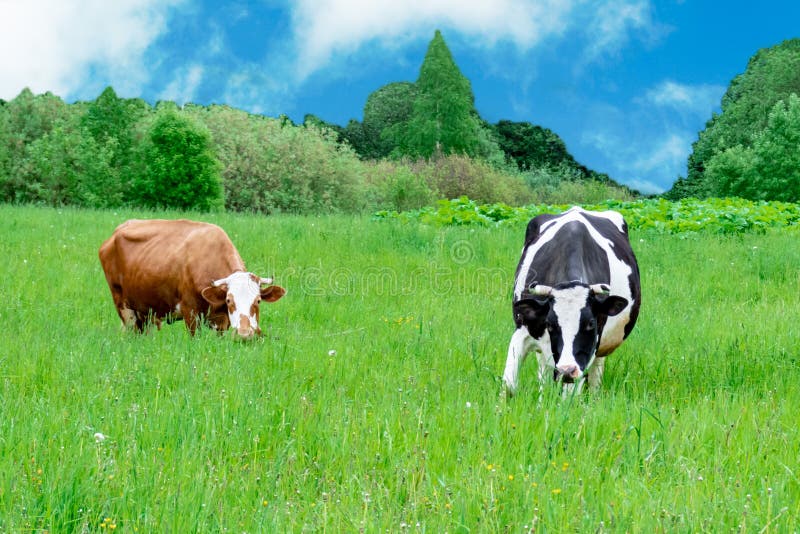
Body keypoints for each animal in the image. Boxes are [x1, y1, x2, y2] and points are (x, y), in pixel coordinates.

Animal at [98, 219, 285, 339]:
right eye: (229, 300)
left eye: (258, 300)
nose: (245, 334)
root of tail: (117, 231)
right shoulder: (190, 311)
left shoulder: (221, 320)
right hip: (123, 304)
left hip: (145, 309)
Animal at [502, 206, 640, 395]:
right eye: (549, 324)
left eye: (590, 324)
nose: (566, 369)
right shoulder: (522, 329)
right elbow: (509, 385)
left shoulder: (586, 352)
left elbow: (569, 394)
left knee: (595, 377)